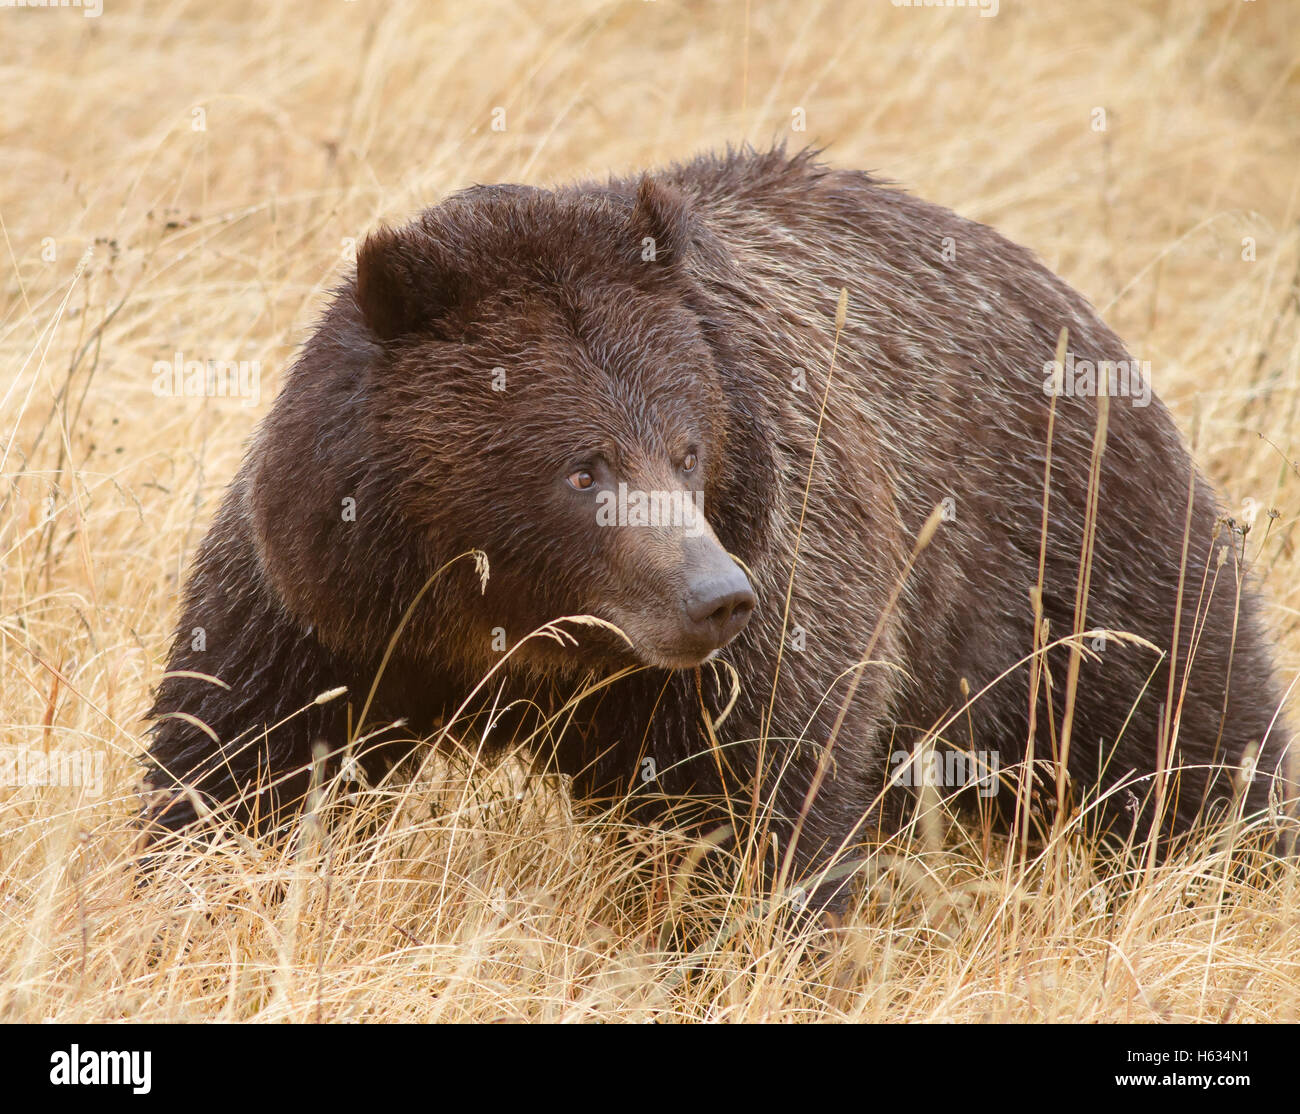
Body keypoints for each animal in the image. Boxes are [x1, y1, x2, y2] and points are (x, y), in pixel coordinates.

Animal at [143, 145, 1292, 908]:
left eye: (688, 450)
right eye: (582, 466)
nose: (713, 596)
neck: (515, 634)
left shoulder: (764, 622)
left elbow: (754, 815)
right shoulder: (325, 609)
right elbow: (238, 766)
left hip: (1076, 557)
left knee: (1184, 746)